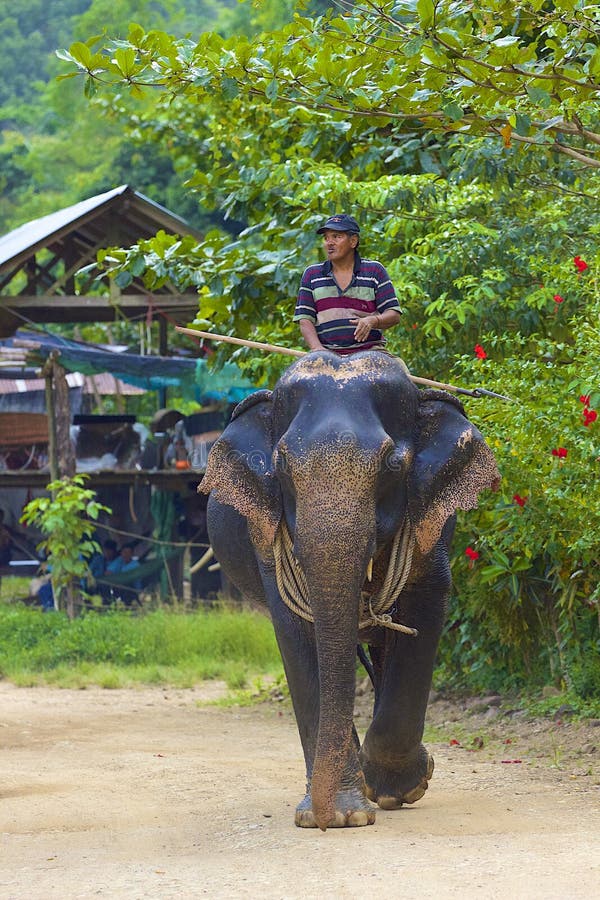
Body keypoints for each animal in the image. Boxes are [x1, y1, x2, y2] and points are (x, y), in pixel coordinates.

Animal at [200, 350, 500, 831]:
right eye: (281, 466)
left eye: (392, 466)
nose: (326, 819)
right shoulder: (265, 539)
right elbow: (295, 632)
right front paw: (340, 815)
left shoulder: (432, 532)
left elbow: (423, 613)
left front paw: (395, 790)